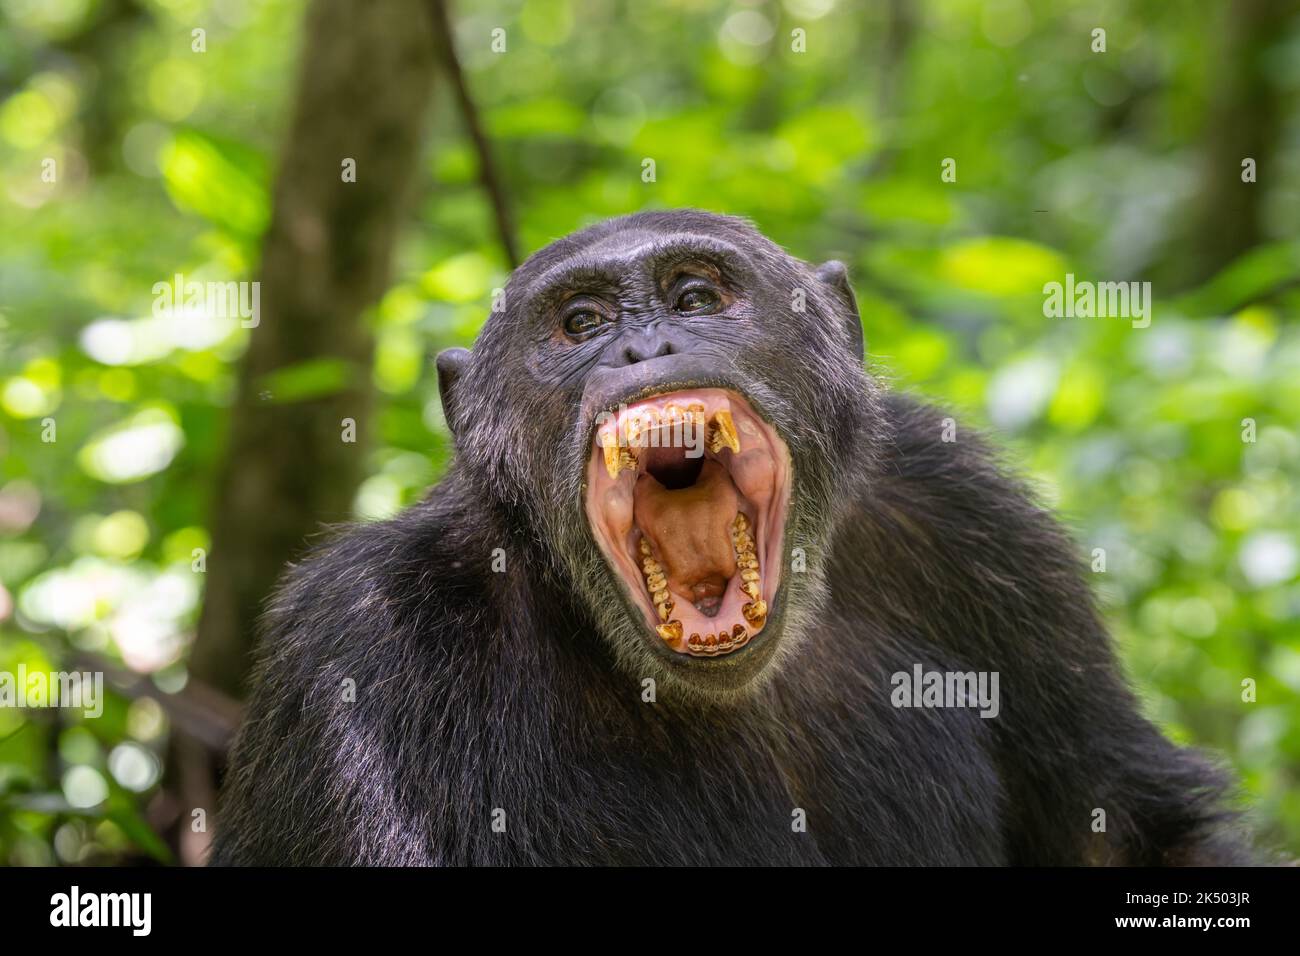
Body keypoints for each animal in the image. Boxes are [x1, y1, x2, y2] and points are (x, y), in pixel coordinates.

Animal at [211, 209, 1254, 865]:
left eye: (697, 298)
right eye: (580, 322)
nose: (643, 346)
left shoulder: (974, 524)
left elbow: (1123, 826)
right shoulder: (362, 650)